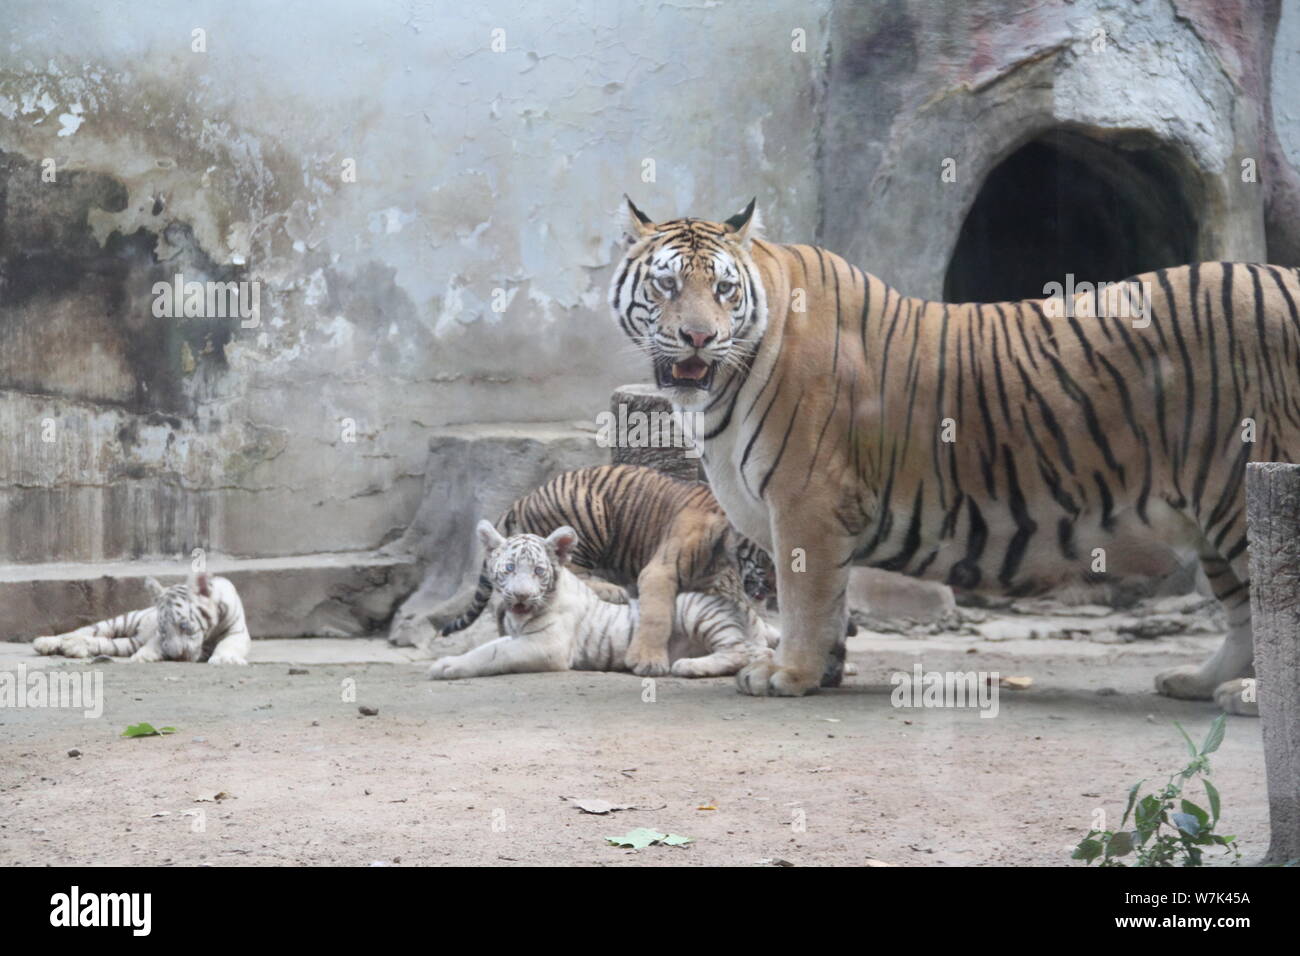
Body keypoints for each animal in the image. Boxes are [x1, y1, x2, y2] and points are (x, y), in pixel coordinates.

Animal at [32, 572, 251, 664]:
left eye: (184, 625)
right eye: (162, 630)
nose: (175, 656)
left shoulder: (237, 632)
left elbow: (229, 643)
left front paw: (225, 659)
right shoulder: (155, 635)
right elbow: (155, 643)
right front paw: (145, 655)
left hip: (127, 642)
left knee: (101, 642)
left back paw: (74, 647)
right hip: (124, 620)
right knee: (82, 631)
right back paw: (47, 642)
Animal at [435, 464, 777, 677]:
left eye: (538, 571)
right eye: (508, 568)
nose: (773, 590)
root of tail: (523, 498)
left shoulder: (547, 645)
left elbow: (494, 653)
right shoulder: (661, 569)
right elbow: (490, 647)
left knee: (746, 651)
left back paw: (689, 664)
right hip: (592, 519)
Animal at [609, 195, 1300, 715]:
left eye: (725, 289)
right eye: (667, 283)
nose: (699, 337)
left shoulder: (807, 499)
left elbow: (803, 596)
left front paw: (789, 674)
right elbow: (832, 601)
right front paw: (823, 670)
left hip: (1249, 490)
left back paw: (1249, 696)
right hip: (1215, 506)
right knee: (1242, 614)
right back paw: (1200, 684)